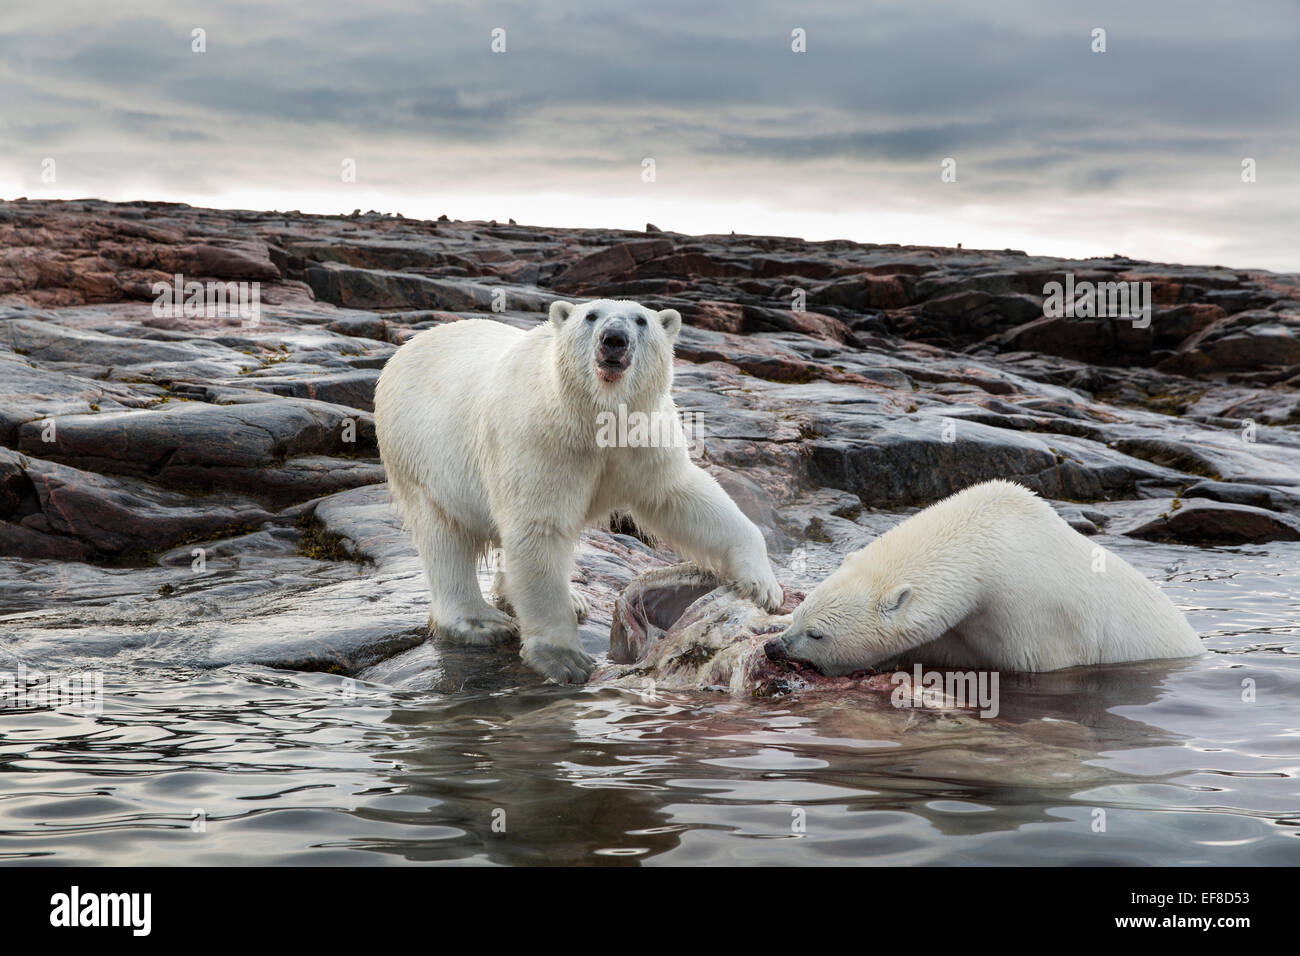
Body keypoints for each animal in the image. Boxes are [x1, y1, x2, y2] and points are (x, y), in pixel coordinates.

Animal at [373, 298, 783, 684]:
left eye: (641, 320)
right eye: (591, 316)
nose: (613, 339)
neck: (595, 415)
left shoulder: (643, 438)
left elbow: (680, 496)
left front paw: (764, 585)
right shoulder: (542, 439)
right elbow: (539, 527)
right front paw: (565, 658)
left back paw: (569, 598)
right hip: (421, 453)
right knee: (444, 536)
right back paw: (479, 622)